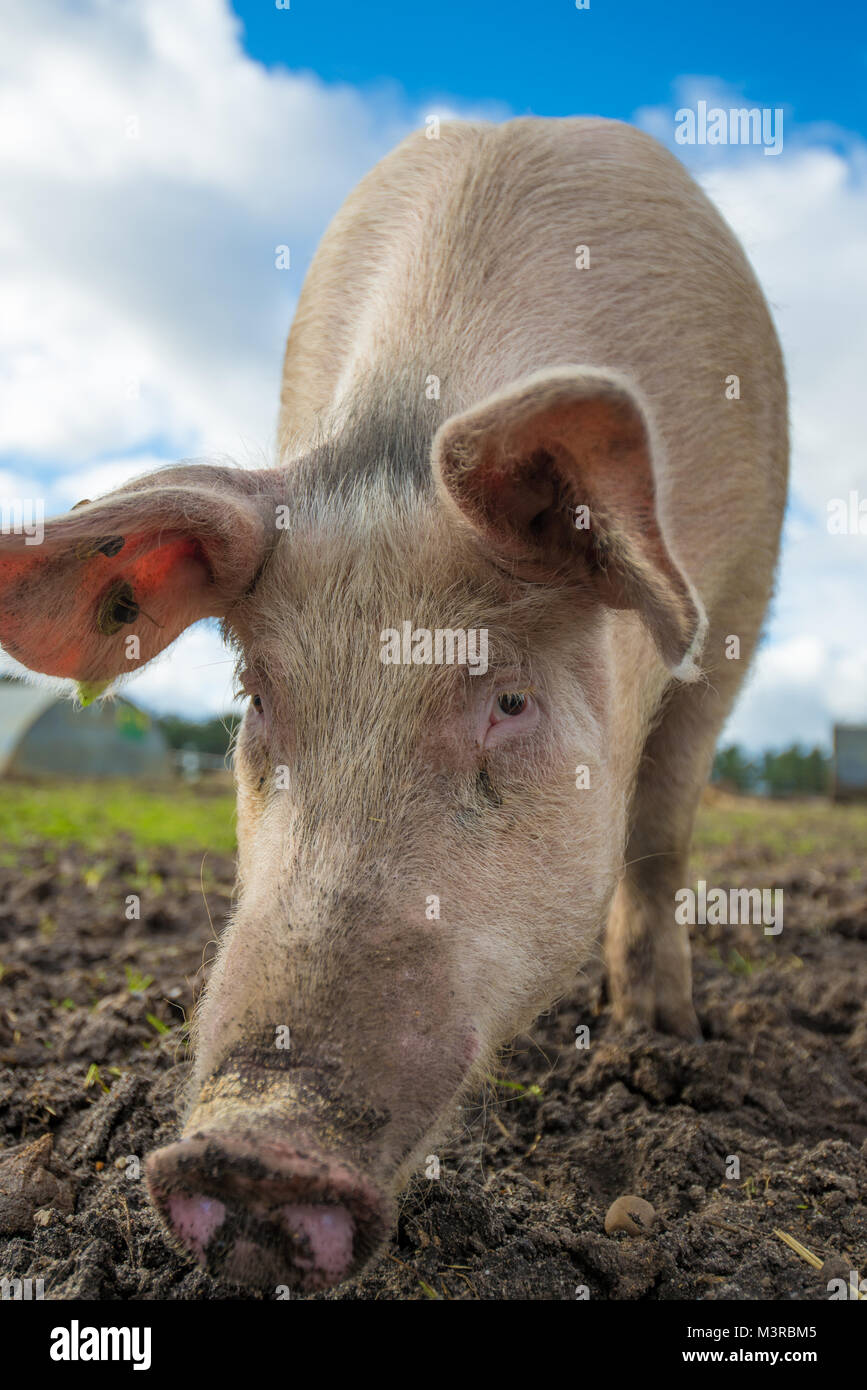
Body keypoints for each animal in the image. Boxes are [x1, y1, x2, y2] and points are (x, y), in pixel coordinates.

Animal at [0, 117, 788, 1291]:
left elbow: (661, 832)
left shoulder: (735, 603)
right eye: (255, 696)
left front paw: (664, 1040)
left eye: (509, 699)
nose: (250, 1152)